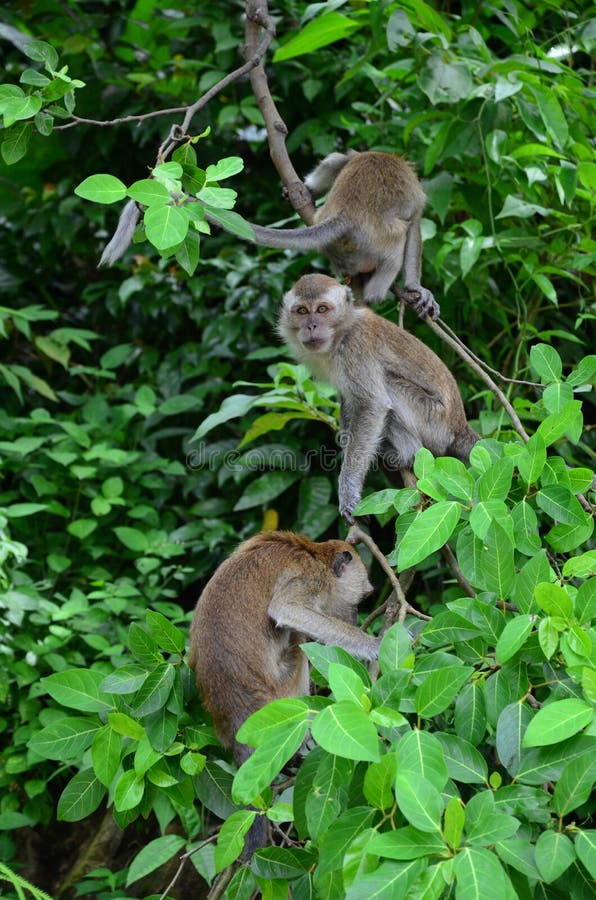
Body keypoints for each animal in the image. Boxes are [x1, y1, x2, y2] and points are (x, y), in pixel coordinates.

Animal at [99, 150, 438, 319]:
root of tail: (345, 213)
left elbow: (337, 160)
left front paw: (308, 189)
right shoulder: (417, 198)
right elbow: (417, 222)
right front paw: (417, 289)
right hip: (380, 240)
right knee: (404, 233)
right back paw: (379, 292)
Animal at [188, 530, 379, 855]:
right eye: (360, 600)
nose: (355, 617)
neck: (313, 552)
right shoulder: (309, 577)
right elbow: (287, 610)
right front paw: (373, 645)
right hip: (280, 691)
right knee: (299, 643)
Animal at [278, 274, 479, 522]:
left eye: (322, 309)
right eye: (302, 311)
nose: (311, 325)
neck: (342, 333)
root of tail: (460, 426)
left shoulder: (356, 349)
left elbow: (372, 404)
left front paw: (348, 493)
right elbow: (350, 399)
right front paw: (345, 436)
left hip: (435, 423)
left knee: (388, 386)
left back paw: (406, 452)